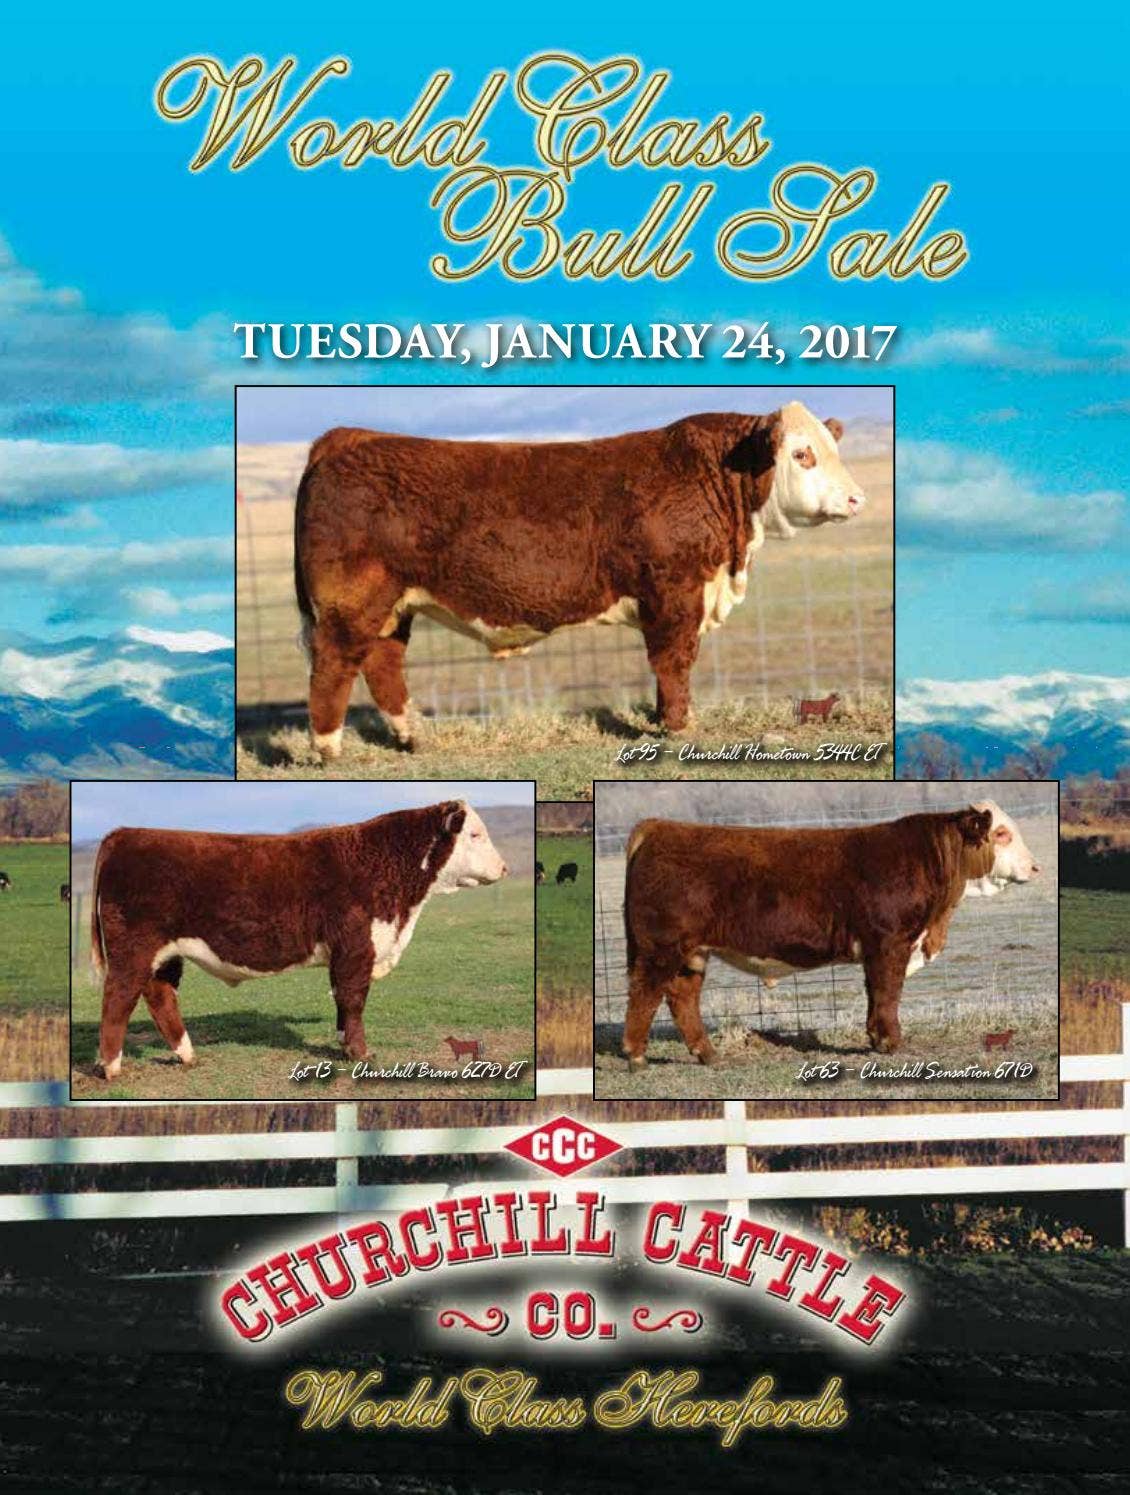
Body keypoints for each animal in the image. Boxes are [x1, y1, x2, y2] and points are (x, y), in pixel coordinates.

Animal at [90, 800, 508, 1081]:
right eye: (474, 834)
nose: (505, 868)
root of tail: (126, 833)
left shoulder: (345, 954)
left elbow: (341, 1000)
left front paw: (343, 1046)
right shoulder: (356, 948)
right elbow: (354, 999)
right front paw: (361, 1053)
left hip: (164, 955)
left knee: (159, 996)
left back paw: (186, 1056)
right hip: (133, 949)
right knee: (118, 999)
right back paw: (111, 1068)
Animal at [294, 402, 867, 758]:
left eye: (833, 450)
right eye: (802, 454)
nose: (857, 498)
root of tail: (346, 438)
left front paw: (663, 721)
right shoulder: (675, 595)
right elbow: (674, 663)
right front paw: (680, 727)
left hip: (395, 606)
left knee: (383, 664)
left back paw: (415, 738)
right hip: (352, 603)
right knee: (334, 666)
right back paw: (328, 748)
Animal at [620, 801, 1039, 1068]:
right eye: (1001, 833)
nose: (1035, 868)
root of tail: (659, 826)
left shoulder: (877, 948)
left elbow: (875, 993)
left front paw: (876, 1039)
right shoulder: (890, 942)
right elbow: (888, 992)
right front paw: (891, 1041)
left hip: (691, 953)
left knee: (681, 997)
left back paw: (707, 1054)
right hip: (660, 948)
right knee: (645, 992)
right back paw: (637, 1055)